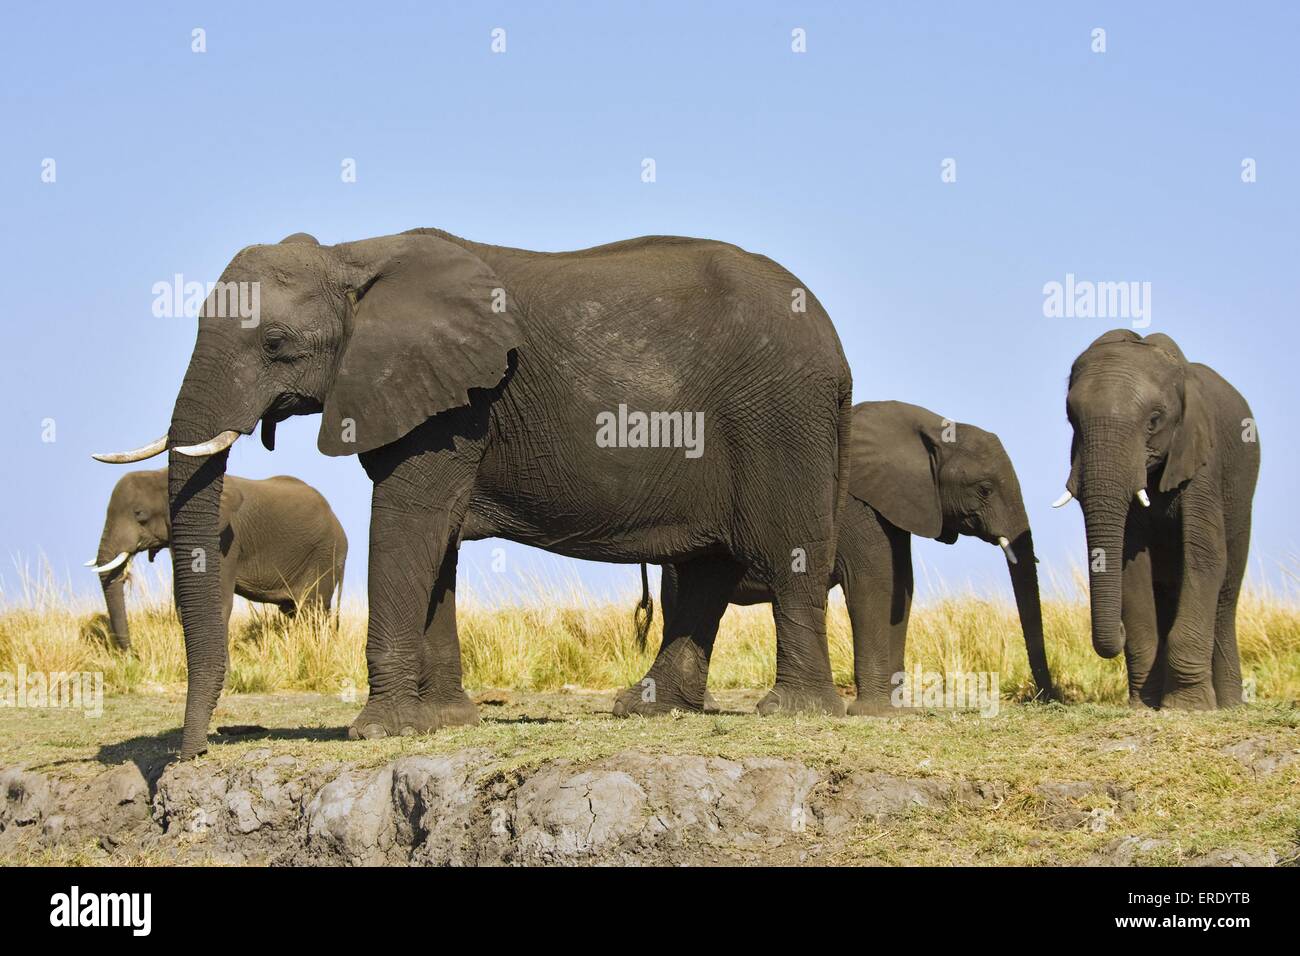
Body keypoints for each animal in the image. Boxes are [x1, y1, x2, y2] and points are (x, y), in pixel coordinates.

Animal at [86, 468, 347, 650]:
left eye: (139, 515)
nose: (133, 654)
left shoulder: (224, 539)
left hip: (325, 554)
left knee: (311, 611)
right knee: (297, 611)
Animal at [646, 401, 1057, 714]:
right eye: (984, 489)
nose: (1046, 697)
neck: (930, 427)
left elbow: (901, 588)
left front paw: (895, 711)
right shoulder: (857, 504)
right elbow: (873, 584)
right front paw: (874, 713)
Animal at [1055, 330, 1258, 709]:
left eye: (1153, 421)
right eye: (1071, 420)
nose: (1116, 632)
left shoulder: (1202, 460)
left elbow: (1204, 557)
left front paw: (1188, 708)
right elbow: (1130, 563)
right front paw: (1145, 706)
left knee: (1225, 597)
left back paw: (1228, 704)